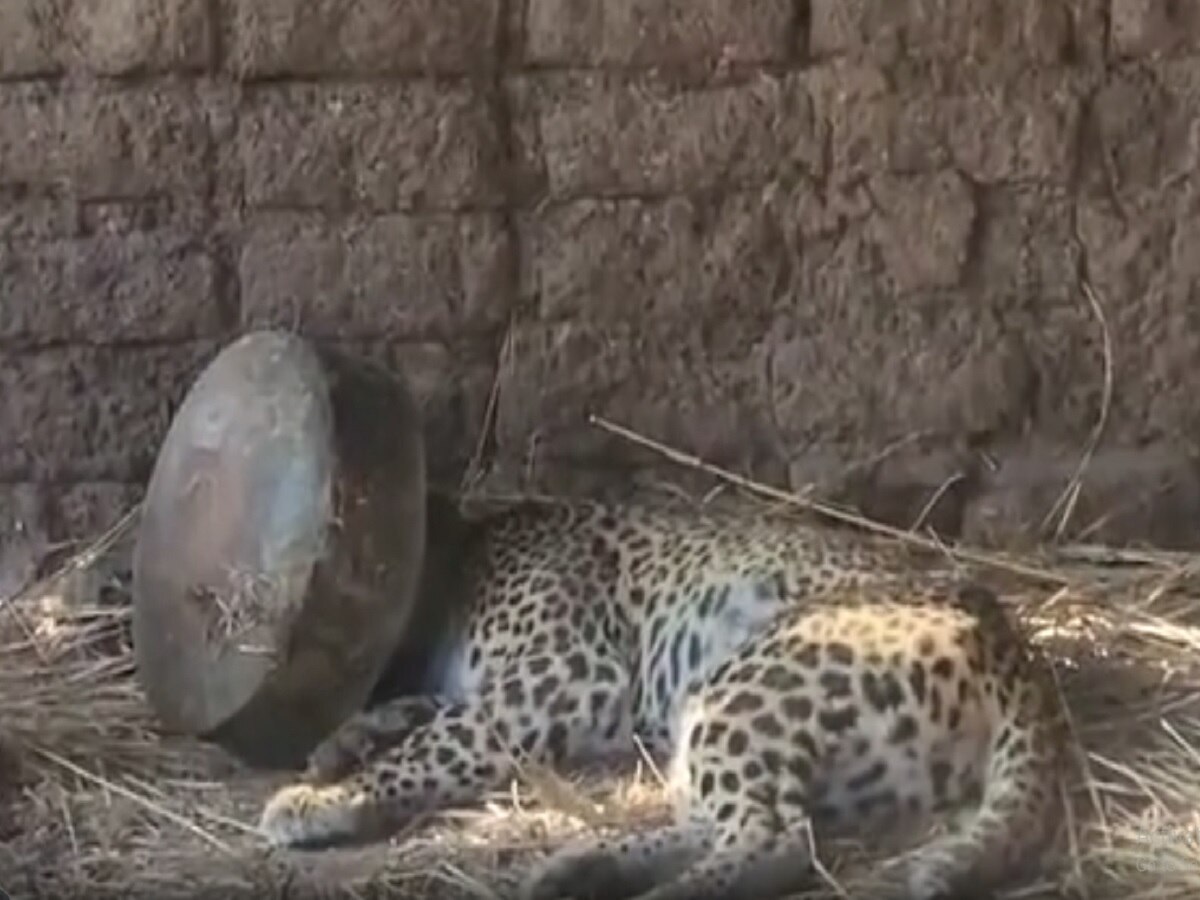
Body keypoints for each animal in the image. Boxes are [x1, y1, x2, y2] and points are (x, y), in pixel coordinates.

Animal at [258, 495, 1066, 900]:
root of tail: (1016, 644)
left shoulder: (565, 678)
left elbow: (439, 742)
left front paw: (323, 800)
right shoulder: (493, 687)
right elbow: (427, 715)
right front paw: (338, 747)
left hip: (748, 685)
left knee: (777, 838)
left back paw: (651, 892)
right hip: (737, 723)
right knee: (722, 820)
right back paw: (581, 868)